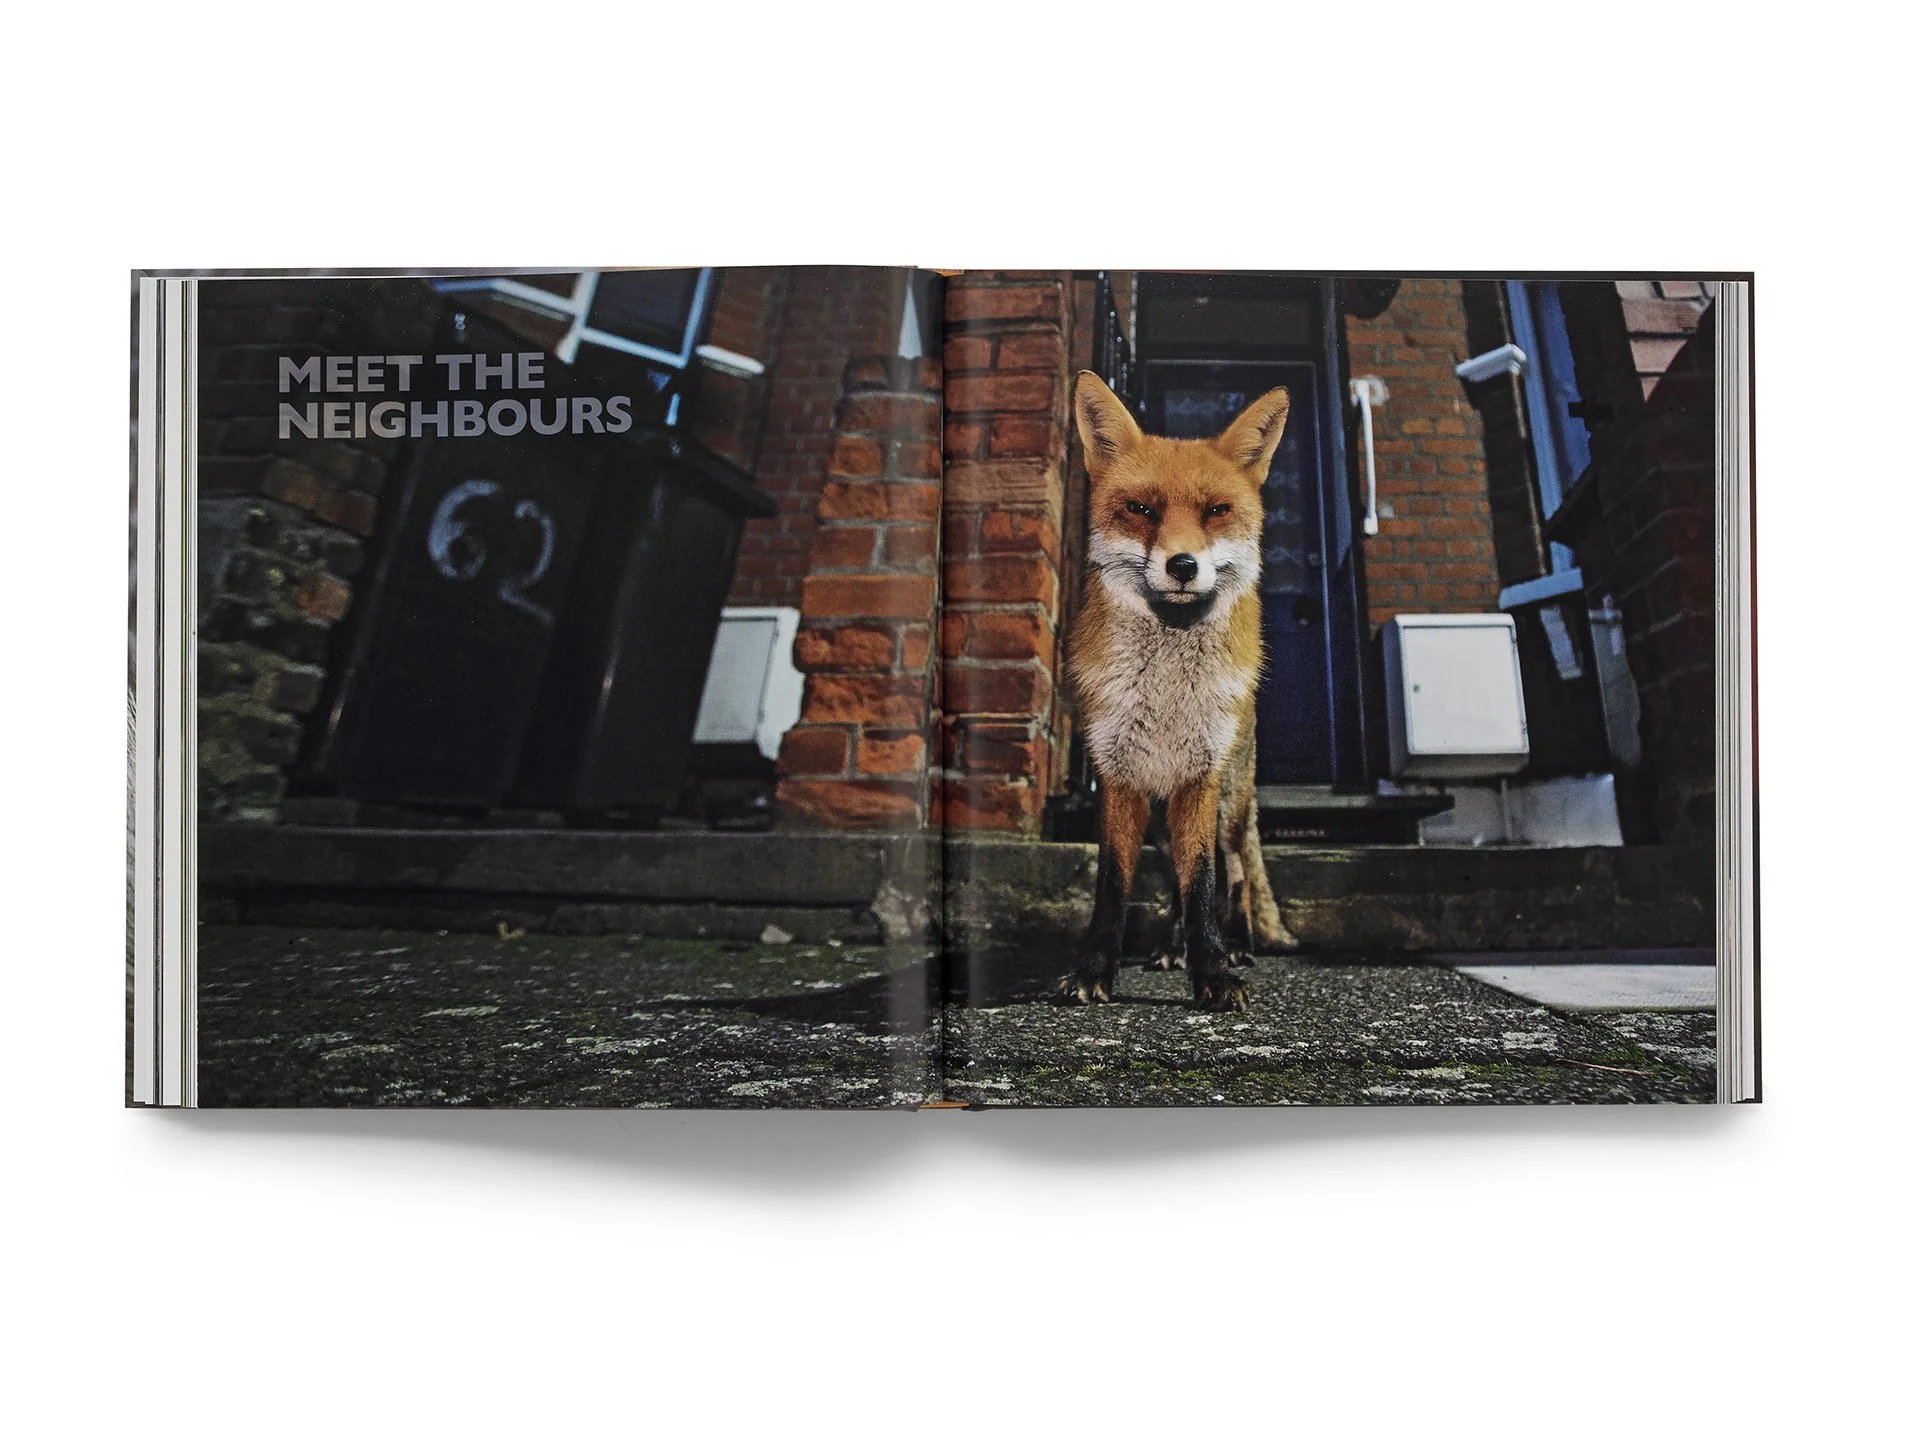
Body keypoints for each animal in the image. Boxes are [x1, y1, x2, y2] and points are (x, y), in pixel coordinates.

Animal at [1060, 372, 1296, 1012]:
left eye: (1216, 511)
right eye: (1141, 509)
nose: (1184, 566)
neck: (1167, 696)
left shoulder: (1199, 780)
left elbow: (1204, 885)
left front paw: (1214, 971)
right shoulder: (1120, 780)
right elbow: (1115, 887)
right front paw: (1094, 970)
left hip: (1228, 808)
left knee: (1234, 874)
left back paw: (1238, 944)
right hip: (1163, 825)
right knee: (1180, 881)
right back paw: (1171, 948)